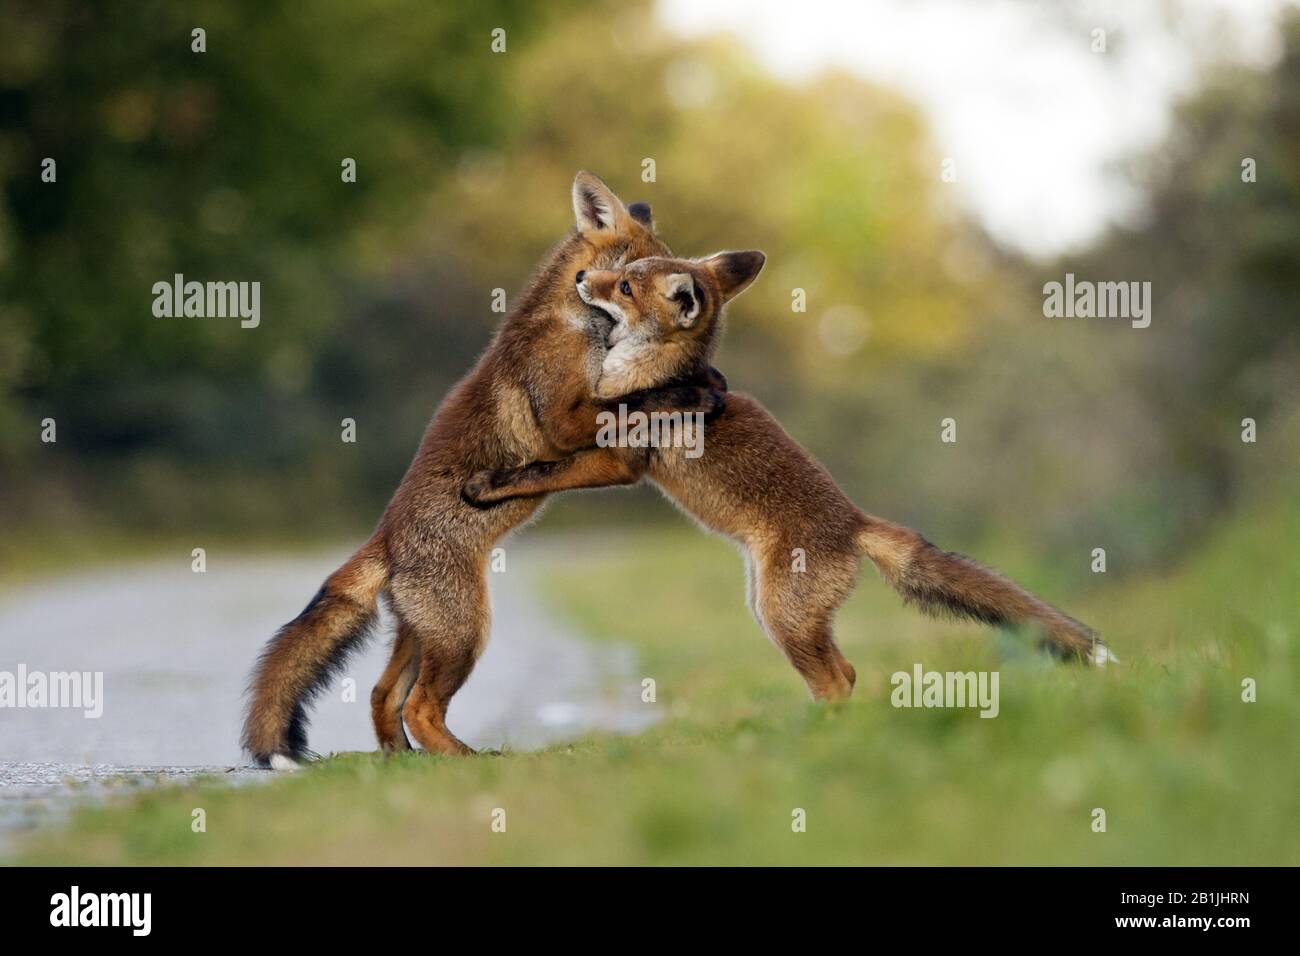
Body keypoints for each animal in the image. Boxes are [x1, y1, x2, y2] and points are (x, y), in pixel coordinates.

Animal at [241, 172, 724, 768]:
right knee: (420, 707)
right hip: (465, 633)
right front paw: (692, 390)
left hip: (422, 635)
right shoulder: (565, 419)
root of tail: (384, 537)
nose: (691, 291)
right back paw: (469, 760)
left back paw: (405, 761)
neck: (573, 321)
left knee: (383, 696)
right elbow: (635, 400)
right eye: (634, 279)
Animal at [463, 254, 1114, 701]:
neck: (649, 369)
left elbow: (542, 470)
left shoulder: (617, 462)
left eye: (623, 285)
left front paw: (487, 484)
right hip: (772, 609)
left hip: (783, 616)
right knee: (846, 671)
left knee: (835, 680)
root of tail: (854, 521)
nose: (580, 276)